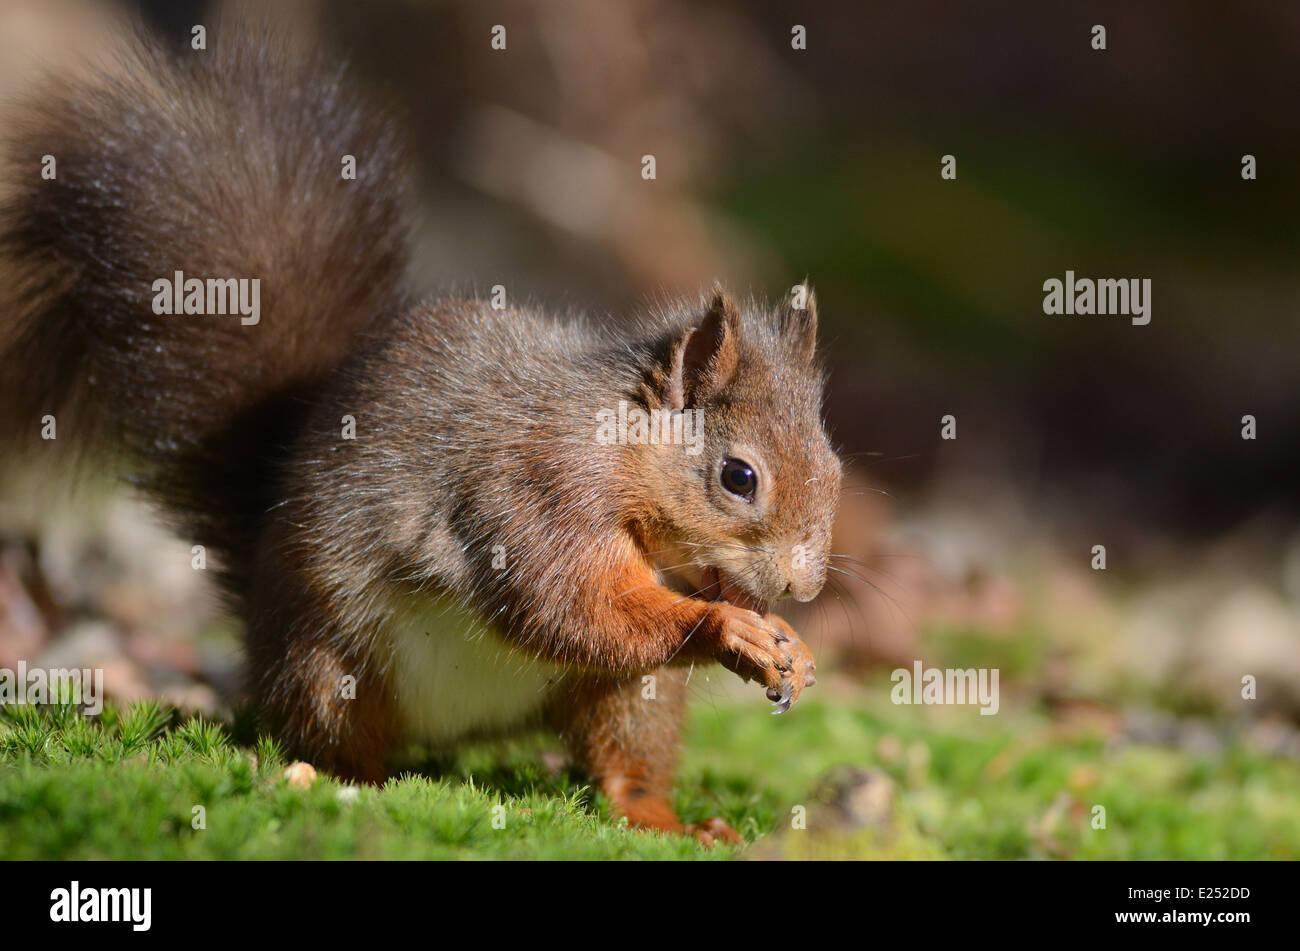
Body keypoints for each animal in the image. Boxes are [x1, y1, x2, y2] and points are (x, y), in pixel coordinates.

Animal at [0, 25, 842, 842]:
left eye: (836, 469)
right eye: (739, 477)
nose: (806, 587)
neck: (614, 443)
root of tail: (462, 730)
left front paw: (789, 645)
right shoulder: (534, 494)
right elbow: (569, 604)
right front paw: (728, 625)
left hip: (628, 696)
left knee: (624, 755)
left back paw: (672, 819)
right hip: (330, 657)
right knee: (333, 730)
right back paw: (340, 779)